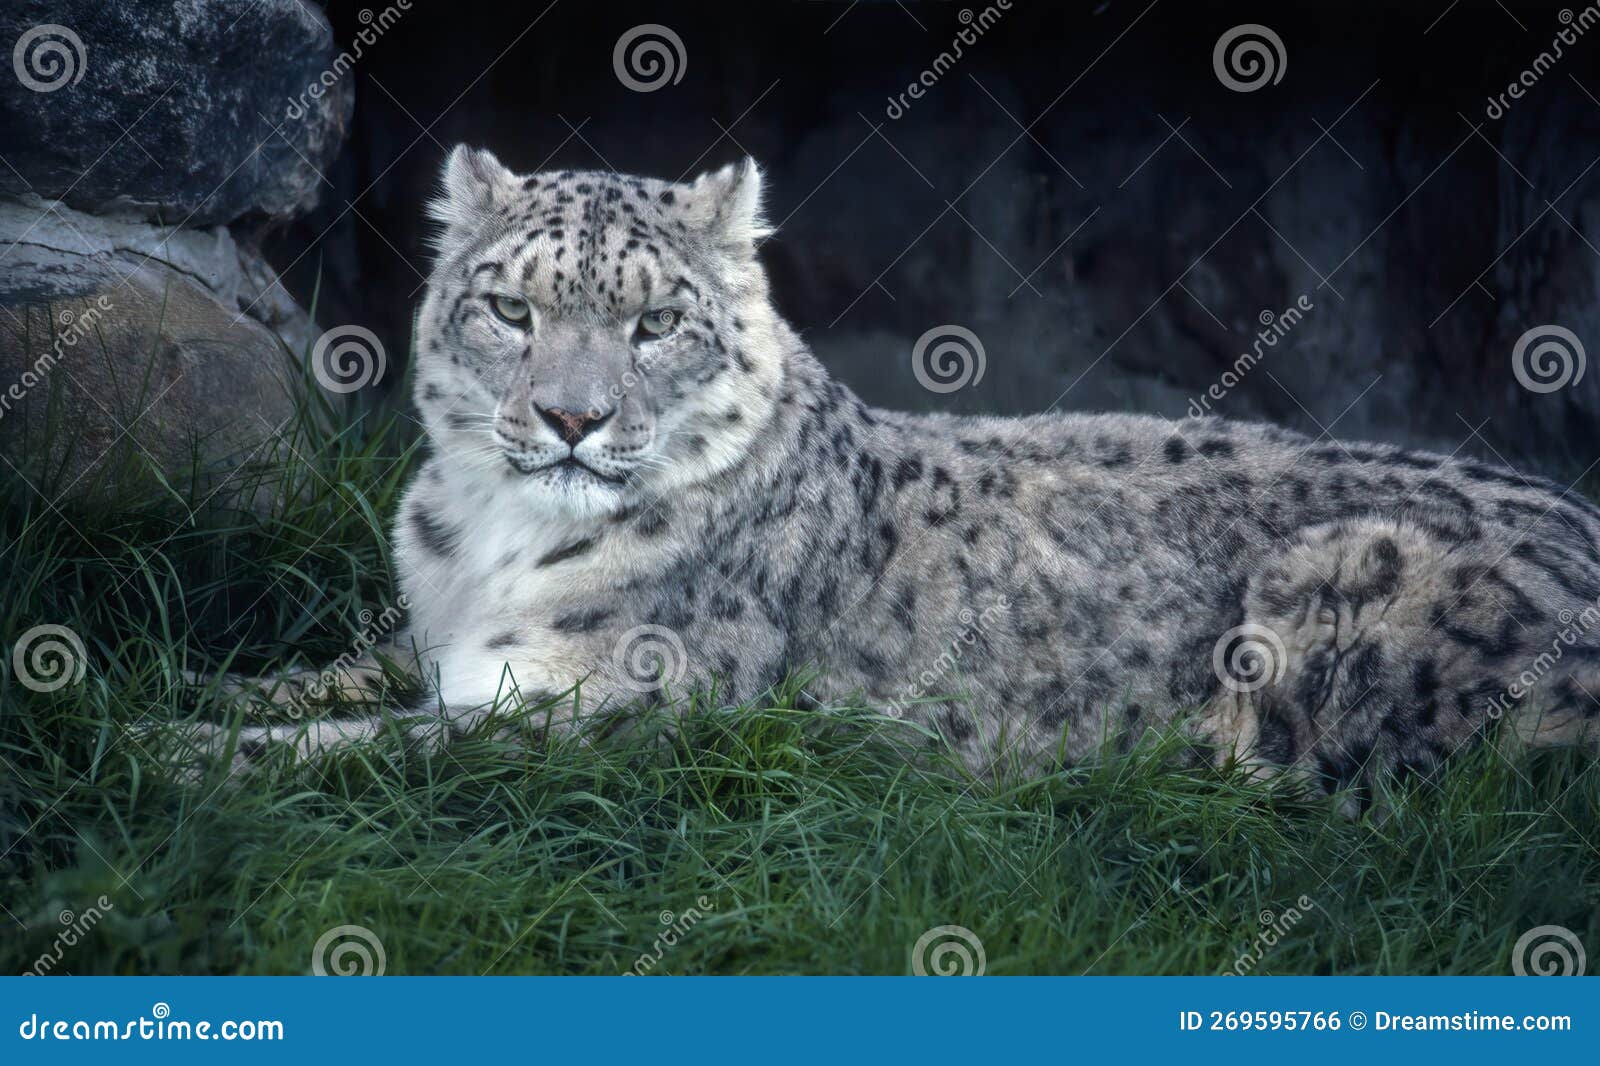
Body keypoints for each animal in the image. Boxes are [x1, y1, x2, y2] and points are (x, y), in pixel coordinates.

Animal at [193, 146, 1600, 807]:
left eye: (656, 322)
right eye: (509, 308)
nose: (572, 417)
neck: (488, 540)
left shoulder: (588, 711)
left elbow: (362, 745)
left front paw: (179, 757)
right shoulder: (429, 637)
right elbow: (329, 678)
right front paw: (173, 689)